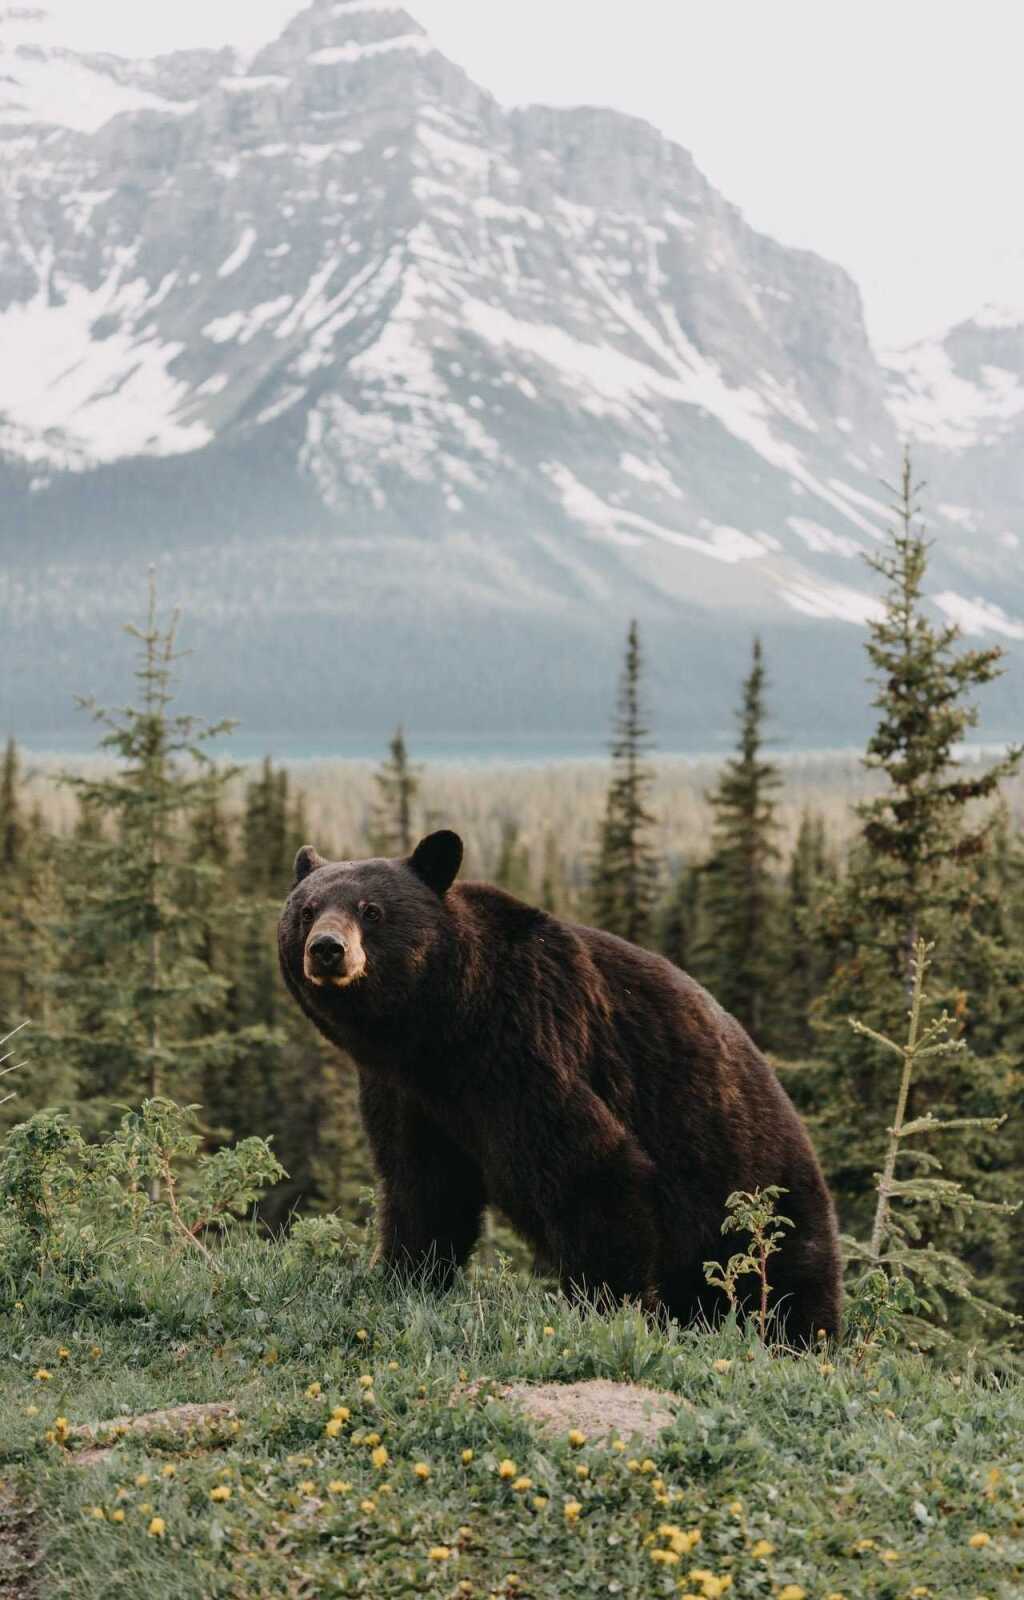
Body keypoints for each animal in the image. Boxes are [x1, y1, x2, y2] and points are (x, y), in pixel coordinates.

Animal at [278, 830, 842, 1343]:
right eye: (306, 910)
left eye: (371, 911)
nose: (326, 949)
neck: (442, 1033)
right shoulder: (405, 1093)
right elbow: (421, 1185)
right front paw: (402, 1276)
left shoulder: (528, 1047)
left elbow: (592, 1169)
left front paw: (603, 1306)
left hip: (758, 1198)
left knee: (789, 1283)